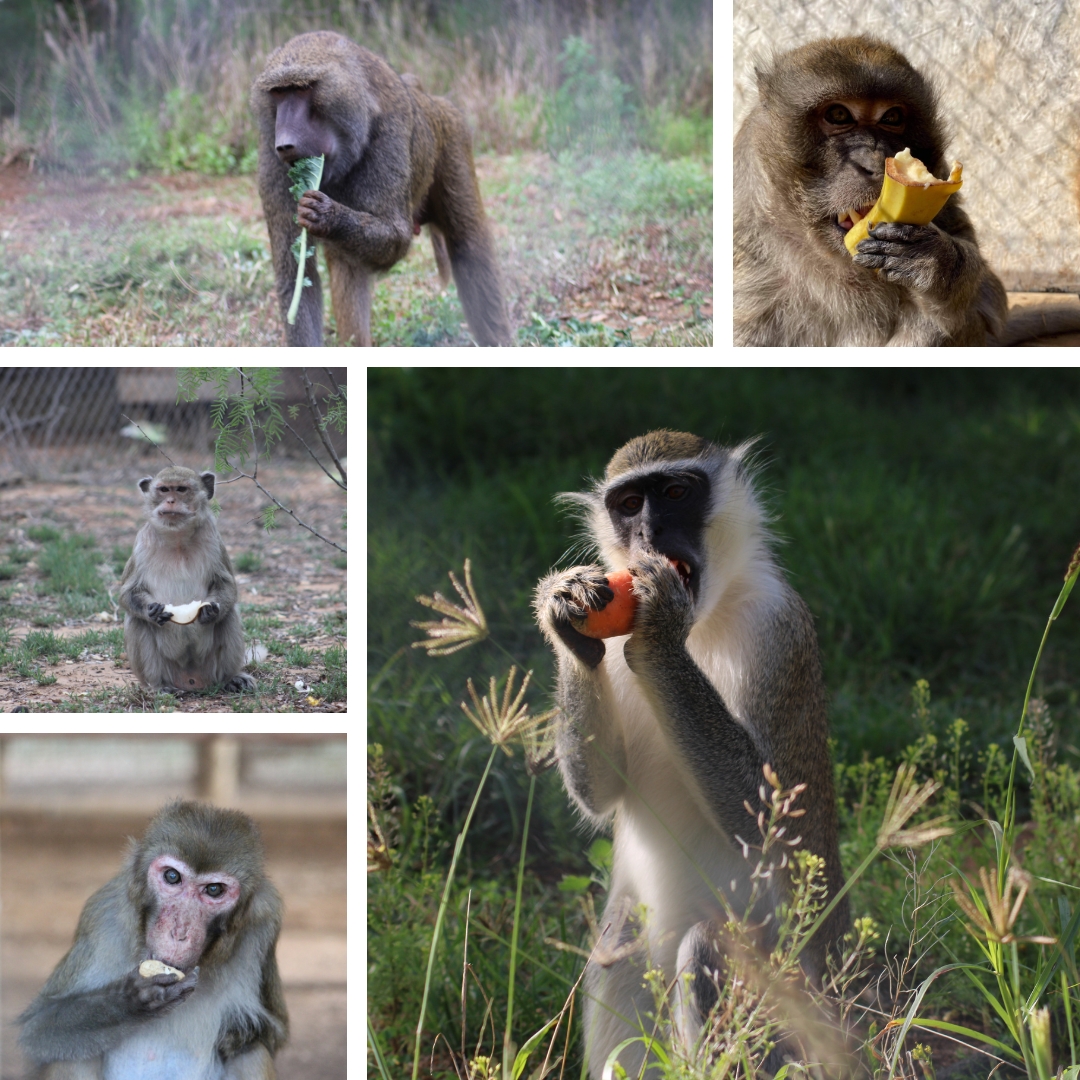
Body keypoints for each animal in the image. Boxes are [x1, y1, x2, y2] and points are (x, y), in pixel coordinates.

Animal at [19, 800, 287, 1080]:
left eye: (214, 890)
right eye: (172, 876)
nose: (179, 932)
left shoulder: (265, 924)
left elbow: (275, 1033)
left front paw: (241, 1030)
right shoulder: (104, 914)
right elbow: (36, 1031)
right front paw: (134, 1000)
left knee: (252, 1053)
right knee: (71, 1057)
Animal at [118, 466, 256, 694]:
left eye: (181, 489)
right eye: (164, 490)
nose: (171, 500)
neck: (178, 540)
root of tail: (191, 680)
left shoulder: (214, 541)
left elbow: (226, 585)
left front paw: (209, 612)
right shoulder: (141, 545)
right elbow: (128, 593)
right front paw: (152, 611)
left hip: (210, 668)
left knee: (228, 615)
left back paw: (231, 678)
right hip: (167, 670)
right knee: (137, 620)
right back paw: (158, 686)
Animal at [252, 31, 512, 348]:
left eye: (302, 89)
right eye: (279, 92)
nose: (285, 142)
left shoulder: (390, 129)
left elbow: (397, 239)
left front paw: (326, 215)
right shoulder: (270, 154)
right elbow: (296, 275)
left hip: (453, 136)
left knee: (469, 244)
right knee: (346, 263)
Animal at [533, 430, 848, 1077]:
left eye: (676, 493)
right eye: (630, 505)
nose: (649, 532)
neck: (701, 624)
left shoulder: (778, 630)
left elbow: (770, 820)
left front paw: (658, 627)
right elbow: (602, 791)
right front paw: (564, 613)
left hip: (793, 1021)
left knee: (707, 948)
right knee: (616, 949)